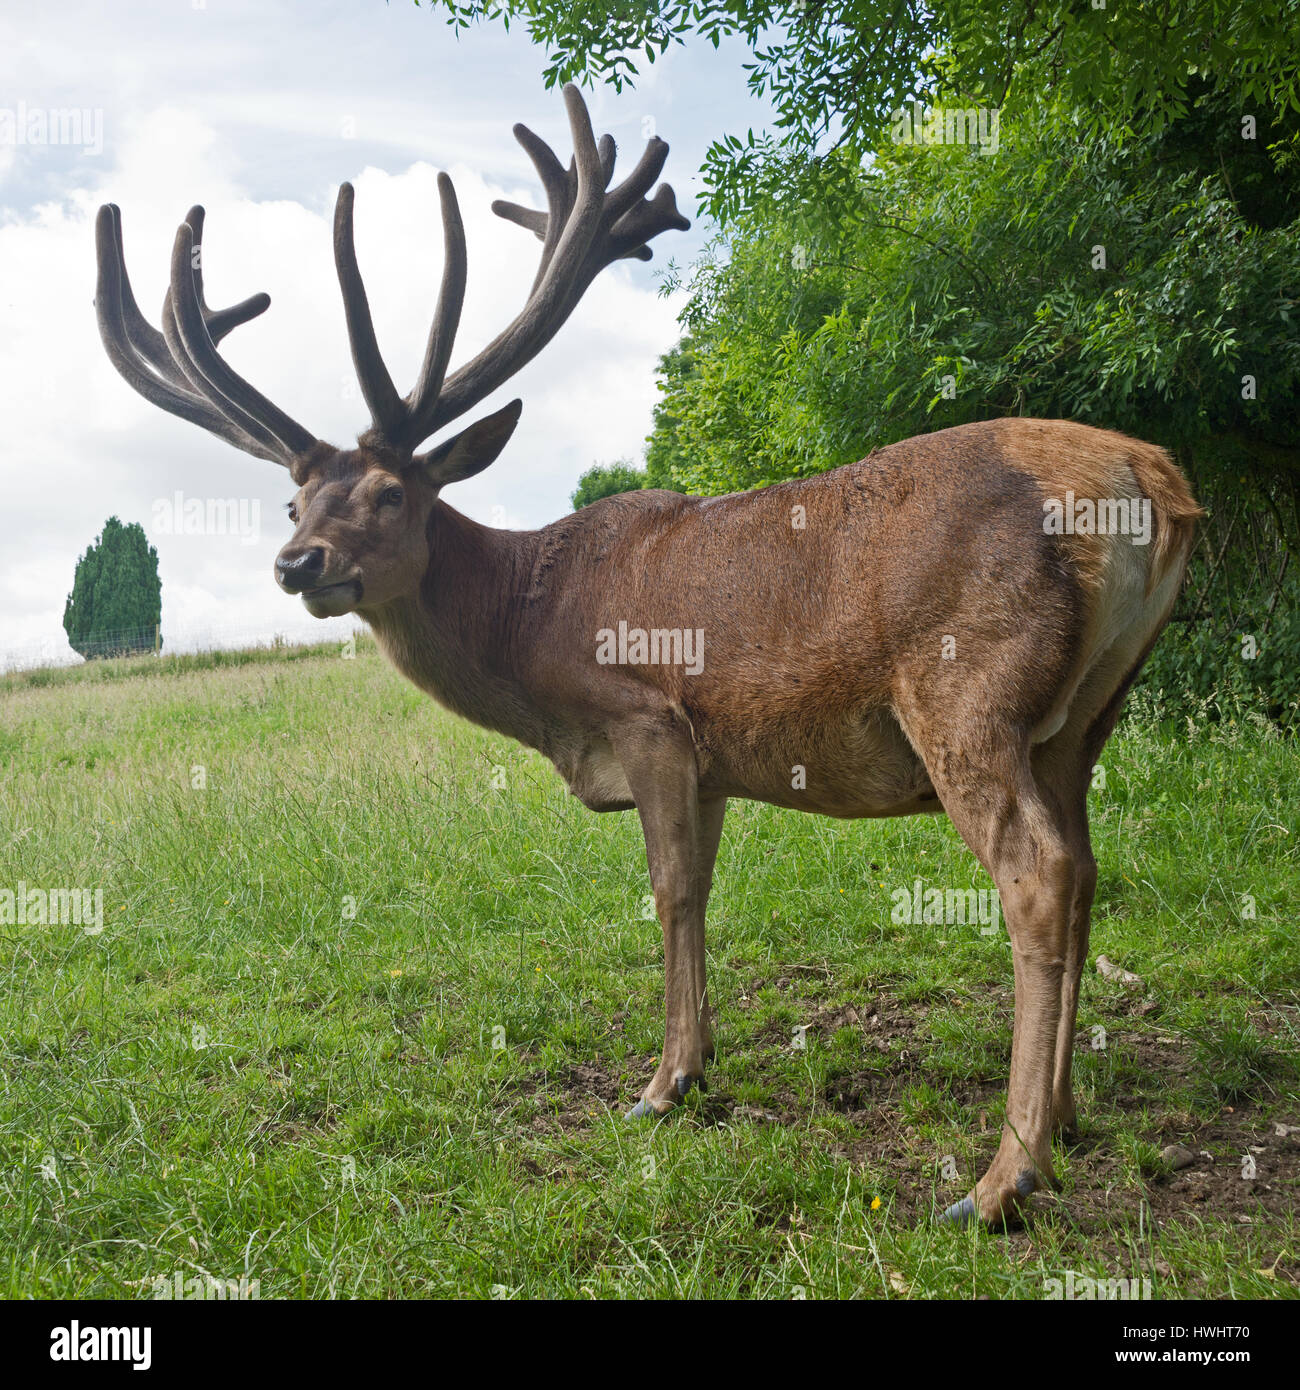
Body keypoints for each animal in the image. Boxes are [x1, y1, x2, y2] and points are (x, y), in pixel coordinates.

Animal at [93, 85, 1201, 1226]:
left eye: (392, 493)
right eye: (293, 501)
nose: (298, 562)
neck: (532, 637)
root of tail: (1152, 478)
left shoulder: (649, 717)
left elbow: (670, 891)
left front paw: (662, 1084)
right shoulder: (713, 763)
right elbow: (699, 890)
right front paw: (697, 1064)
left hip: (966, 690)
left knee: (1037, 872)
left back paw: (1001, 1176)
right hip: (1084, 716)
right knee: (1086, 866)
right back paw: (1065, 1118)